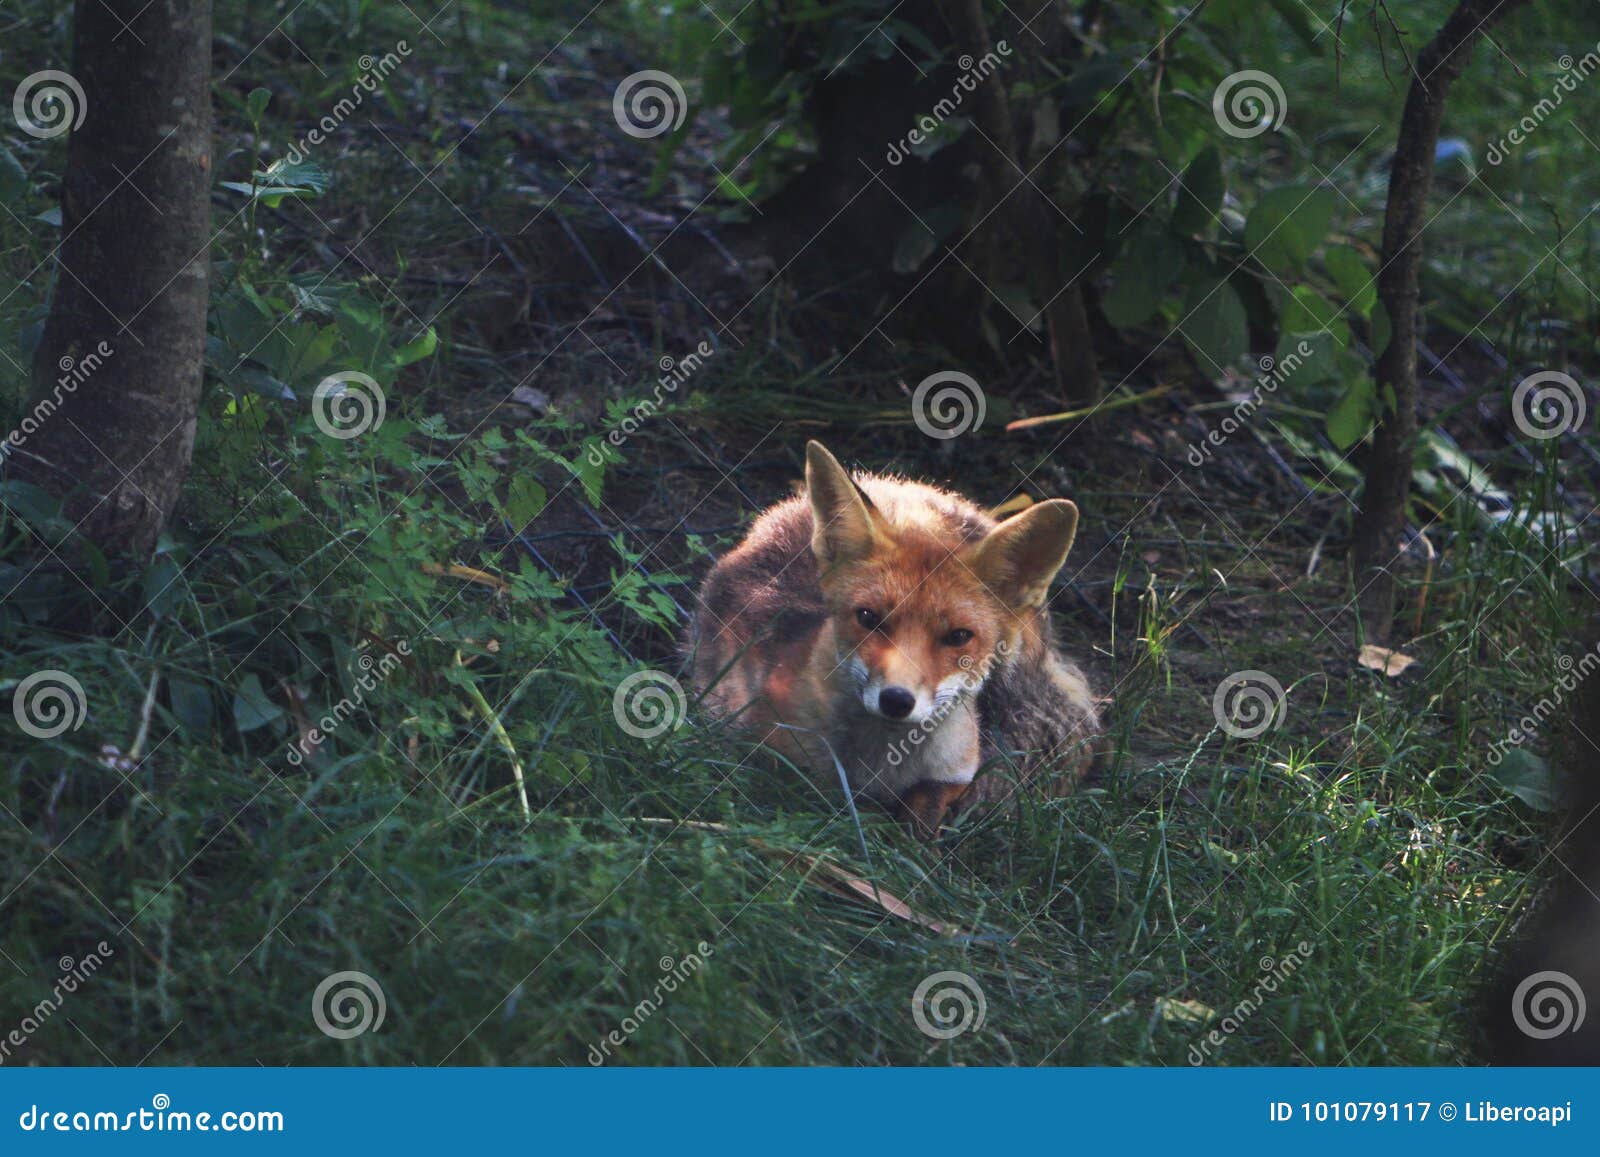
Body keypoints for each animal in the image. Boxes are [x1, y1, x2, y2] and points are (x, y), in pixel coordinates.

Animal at [688, 441, 1101, 835]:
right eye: (869, 617)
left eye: (959, 636)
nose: (897, 700)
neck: (880, 769)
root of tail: (901, 486)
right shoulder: (756, 744)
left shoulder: (955, 773)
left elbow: (926, 816)